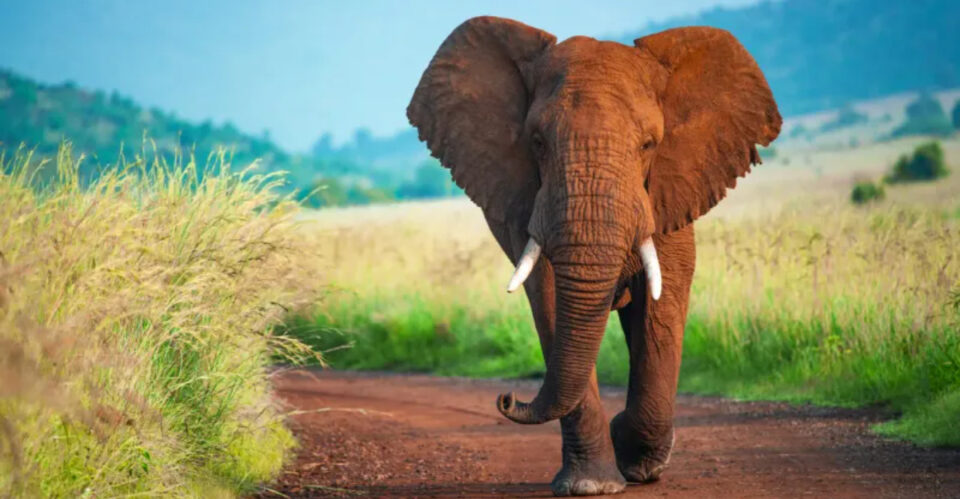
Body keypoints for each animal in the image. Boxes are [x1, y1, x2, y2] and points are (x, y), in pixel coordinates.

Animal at [407, 17, 780, 496]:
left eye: (649, 144)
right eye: (537, 142)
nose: (506, 398)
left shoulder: (668, 190)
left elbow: (661, 303)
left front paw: (635, 461)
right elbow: (549, 299)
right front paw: (592, 485)